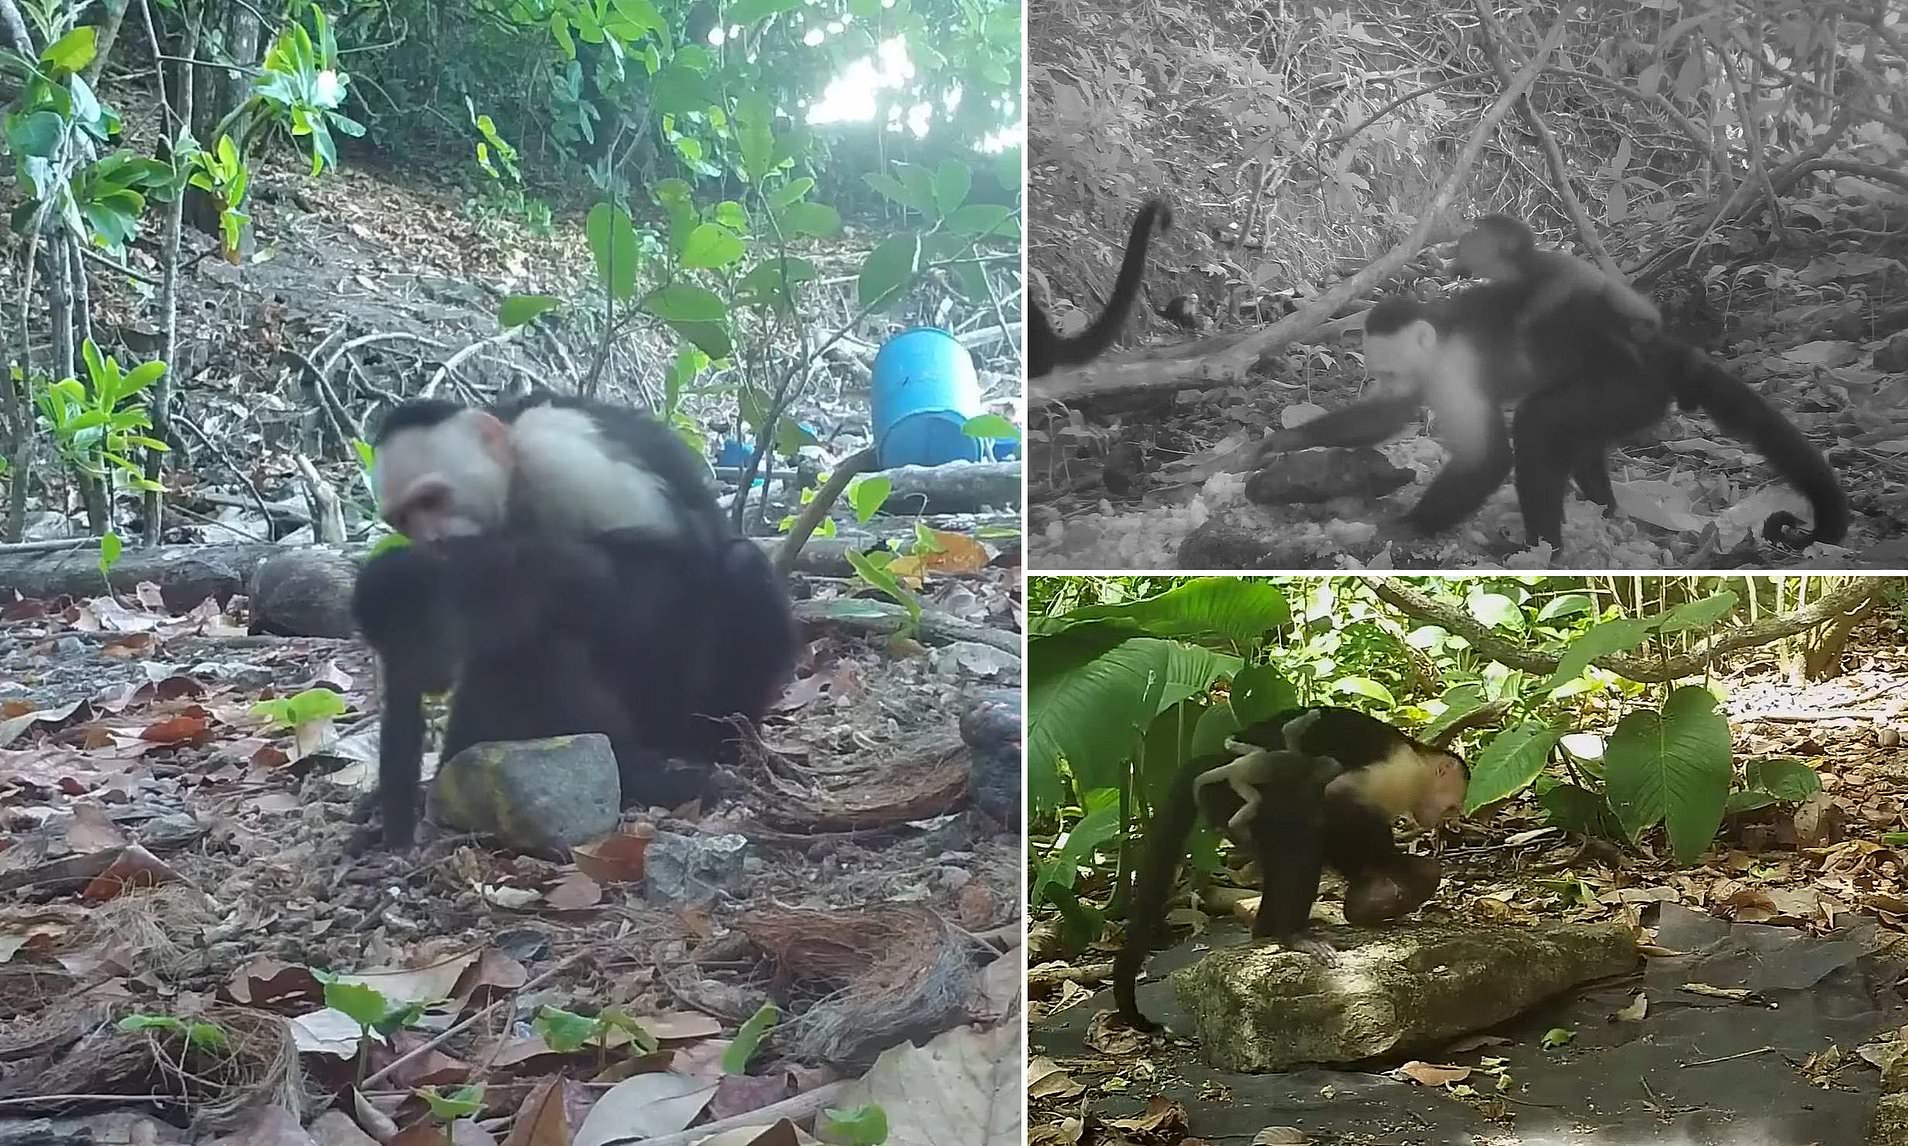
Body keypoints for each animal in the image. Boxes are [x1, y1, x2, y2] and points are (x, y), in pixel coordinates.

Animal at [1114, 706, 1467, 1032]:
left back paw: (1268, 931)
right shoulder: (1397, 774)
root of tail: (1211, 761)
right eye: (1451, 805)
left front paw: (1378, 893)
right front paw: (1396, 867)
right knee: (1302, 820)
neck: (1416, 760)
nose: (1447, 820)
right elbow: (1337, 801)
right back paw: (1291, 935)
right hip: (1233, 793)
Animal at [1259, 284, 1847, 550]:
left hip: (1628, 388)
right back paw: (1604, 513)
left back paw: (1540, 546)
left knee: (1539, 425)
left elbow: (1490, 457)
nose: (1380, 381)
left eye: (1385, 369)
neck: (1439, 337)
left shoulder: (1454, 369)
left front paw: (1407, 526)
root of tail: (1661, 350)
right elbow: (1387, 417)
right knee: (1575, 443)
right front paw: (1279, 444)